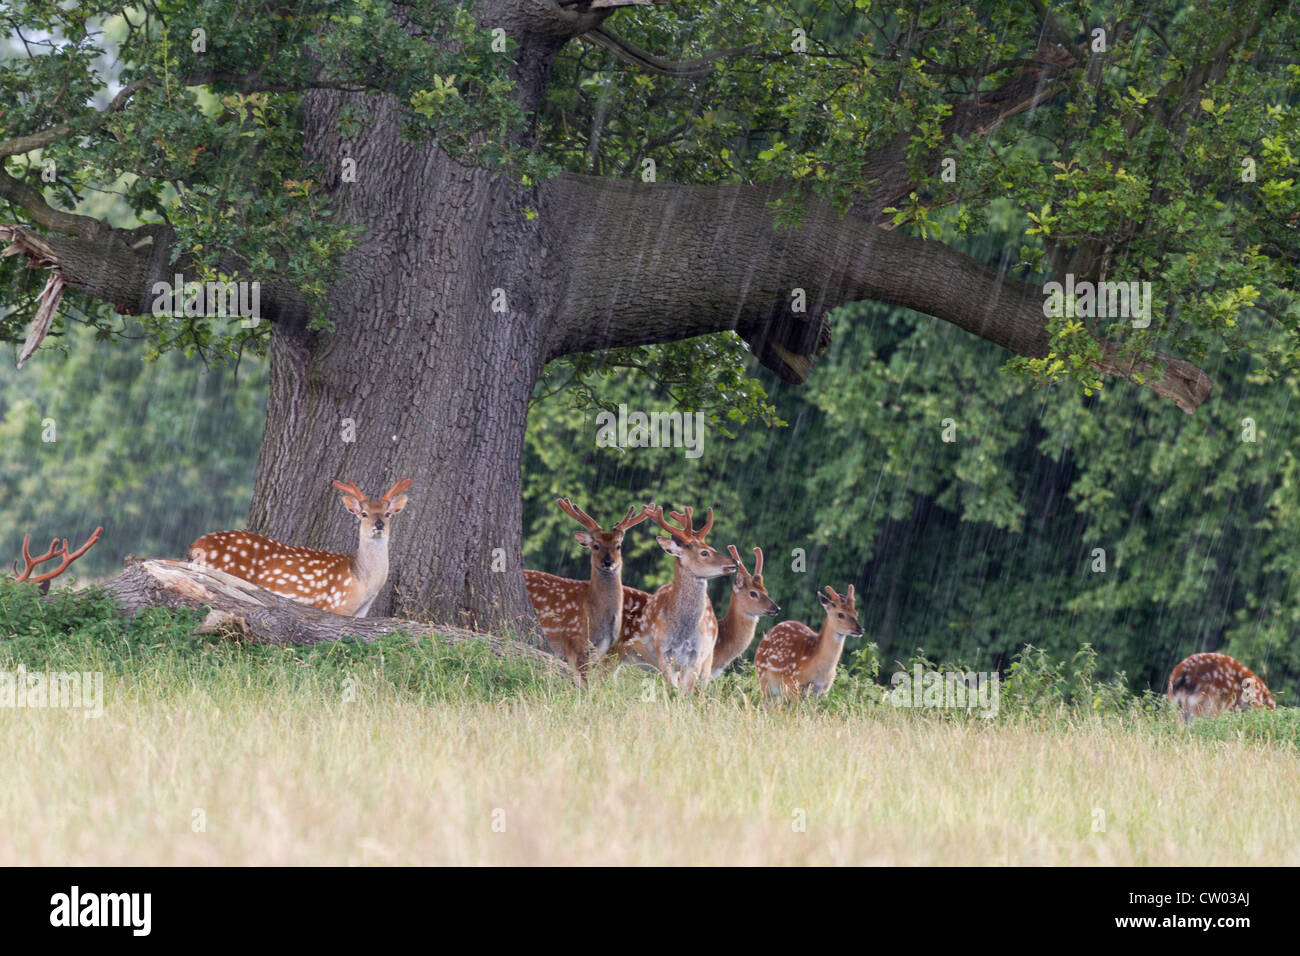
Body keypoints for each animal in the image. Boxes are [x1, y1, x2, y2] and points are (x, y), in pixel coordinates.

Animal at [188, 478, 411, 617]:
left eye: (388, 514)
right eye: (363, 514)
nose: (379, 524)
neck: (363, 583)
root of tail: (196, 546)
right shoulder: (334, 605)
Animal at [616, 505, 737, 692]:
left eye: (711, 546)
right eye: (704, 552)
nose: (734, 561)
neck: (682, 632)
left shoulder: (696, 656)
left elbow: (686, 693)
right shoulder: (663, 653)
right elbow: (673, 691)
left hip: (708, 657)